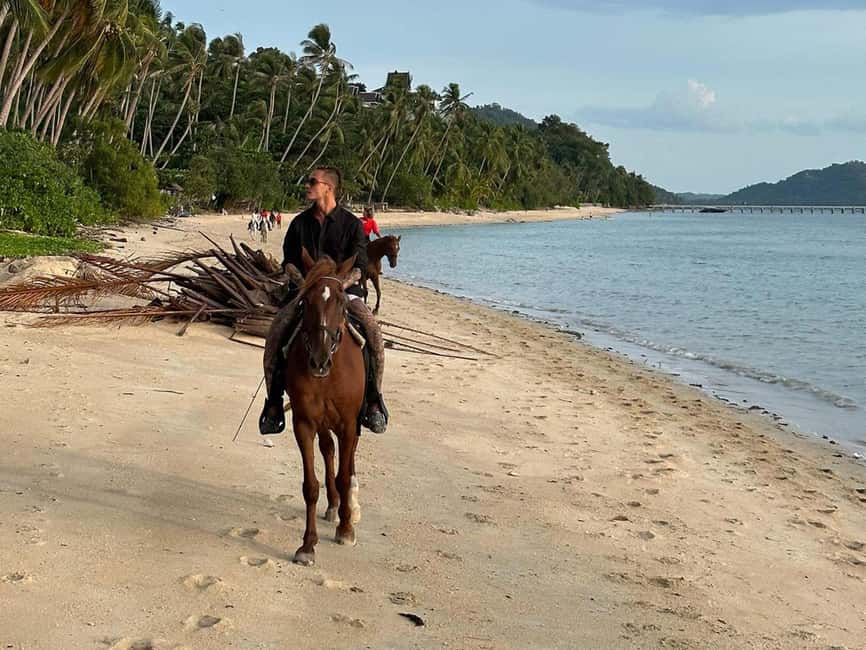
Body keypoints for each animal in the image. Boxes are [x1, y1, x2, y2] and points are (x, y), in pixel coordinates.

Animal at [283, 250, 366, 566]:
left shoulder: (348, 423)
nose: (319, 360)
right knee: (328, 451)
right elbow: (310, 485)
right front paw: (308, 545)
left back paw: (349, 507)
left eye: (341, 301)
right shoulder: (304, 423)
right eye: (305, 301)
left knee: (348, 459)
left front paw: (346, 529)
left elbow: (343, 475)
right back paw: (333, 506)